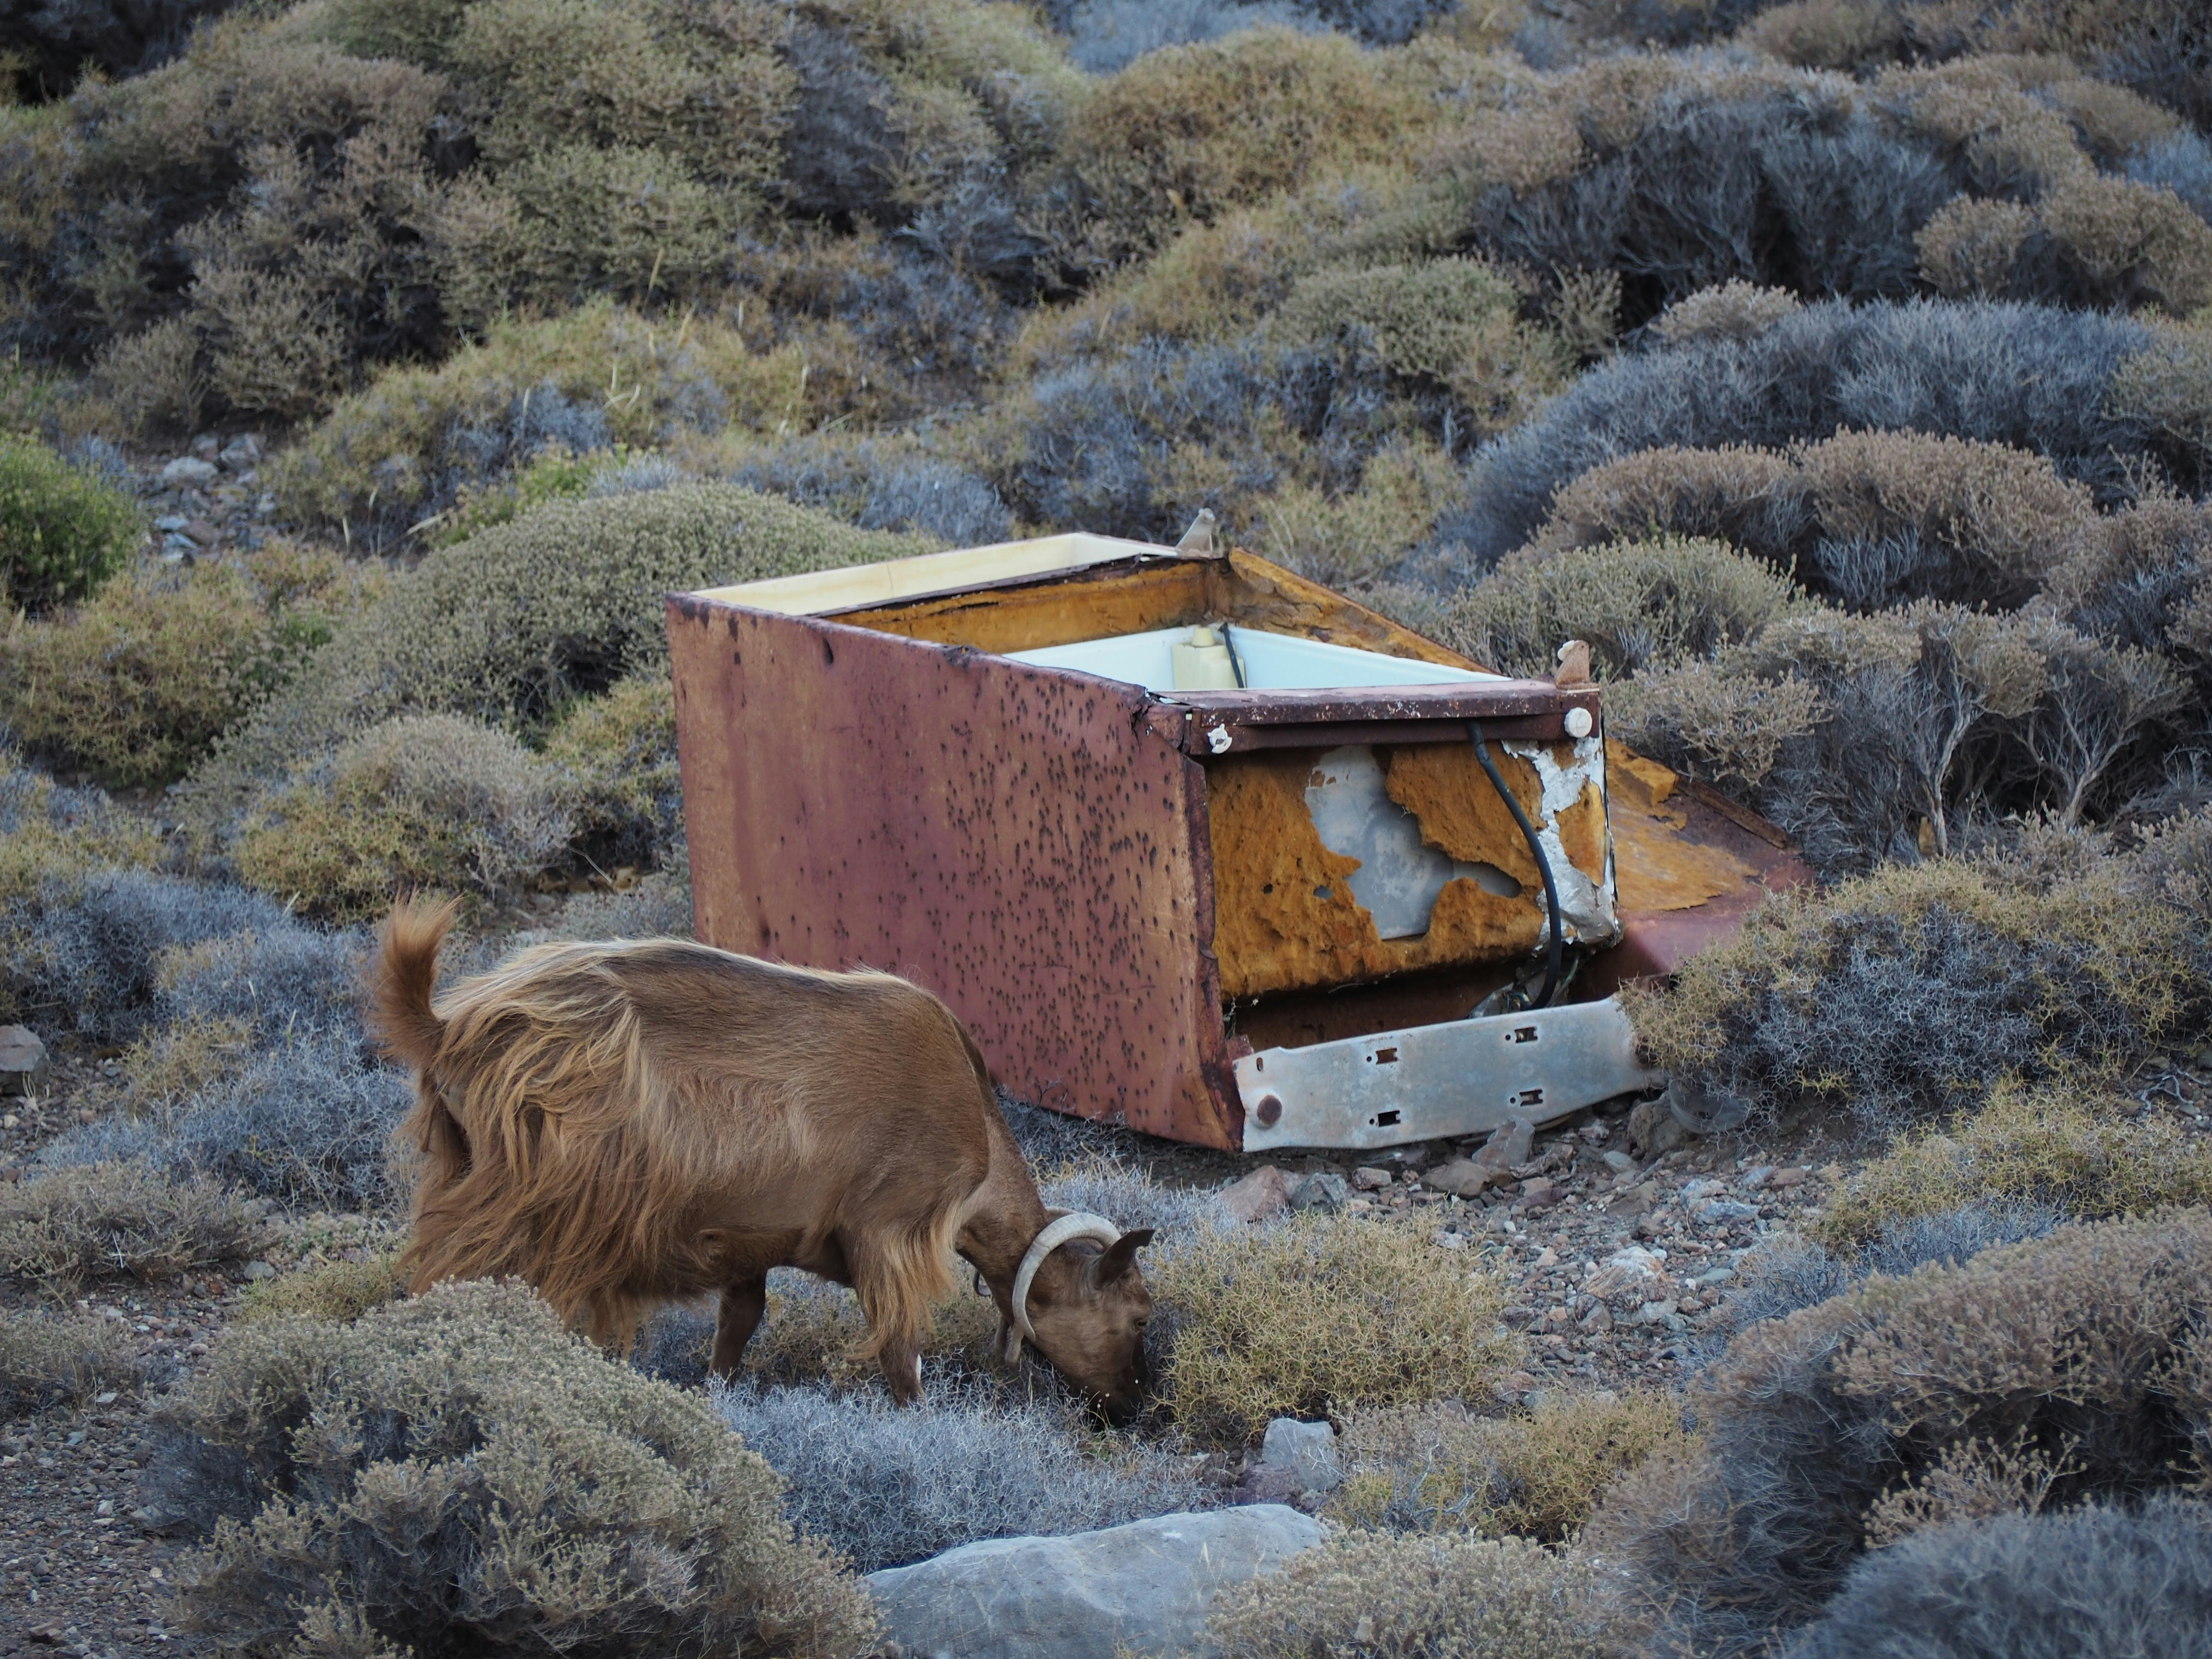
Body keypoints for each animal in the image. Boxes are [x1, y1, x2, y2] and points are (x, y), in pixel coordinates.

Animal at [369, 897, 1155, 1412]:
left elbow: (737, 1329)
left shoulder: (746, 1243)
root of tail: (450, 1028)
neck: (977, 1129)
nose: (1132, 1406)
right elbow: (901, 1353)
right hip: (531, 1219)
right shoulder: (889, 1233)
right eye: (1143, 1314)